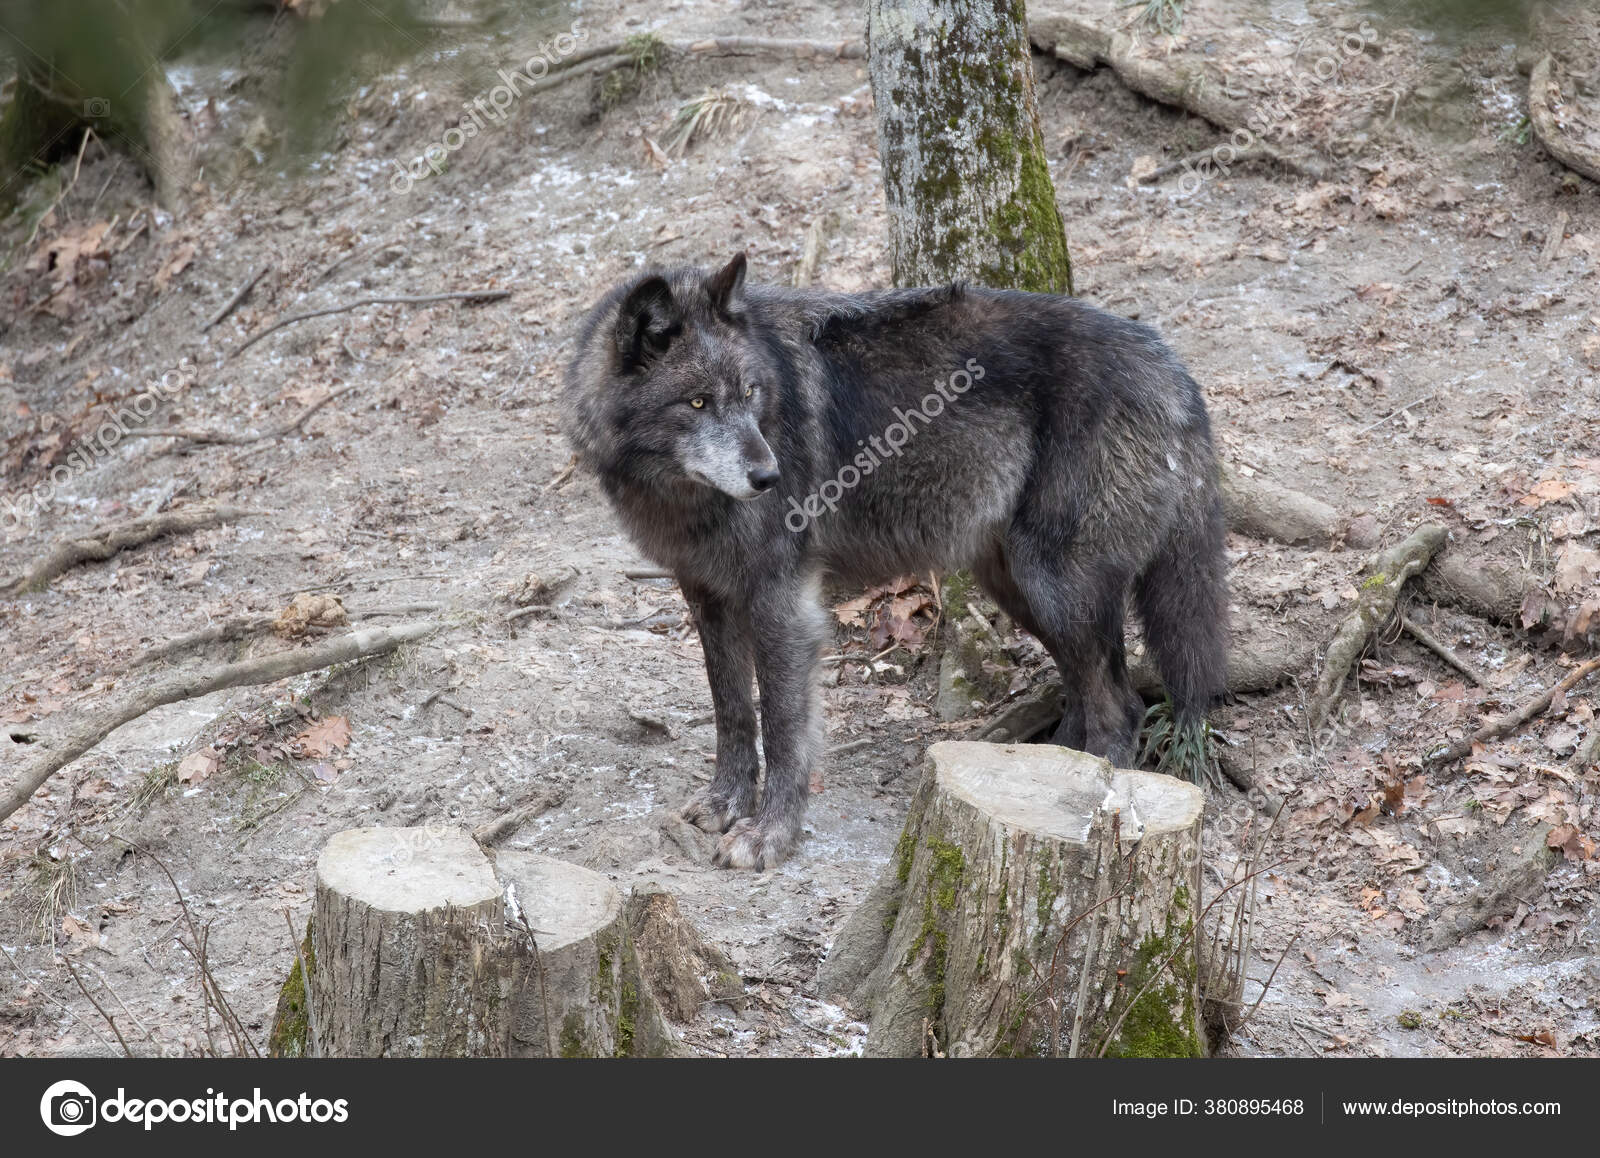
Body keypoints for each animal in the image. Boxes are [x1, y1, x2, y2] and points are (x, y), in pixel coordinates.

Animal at [564, 254, 1227, 870]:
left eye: (749, 394)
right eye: (698, 402)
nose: (770, 476)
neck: (682, 498)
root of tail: (1172, 366)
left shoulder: (781, 601)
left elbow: (782, 726)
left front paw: (769, 835)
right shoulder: (705, 593)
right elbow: (731, 709)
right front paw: (725, 803)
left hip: (1057, 585)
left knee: (1121, 706)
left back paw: (1094, 801)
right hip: (1020, 587)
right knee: (1085, 690)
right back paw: (1046, 764)